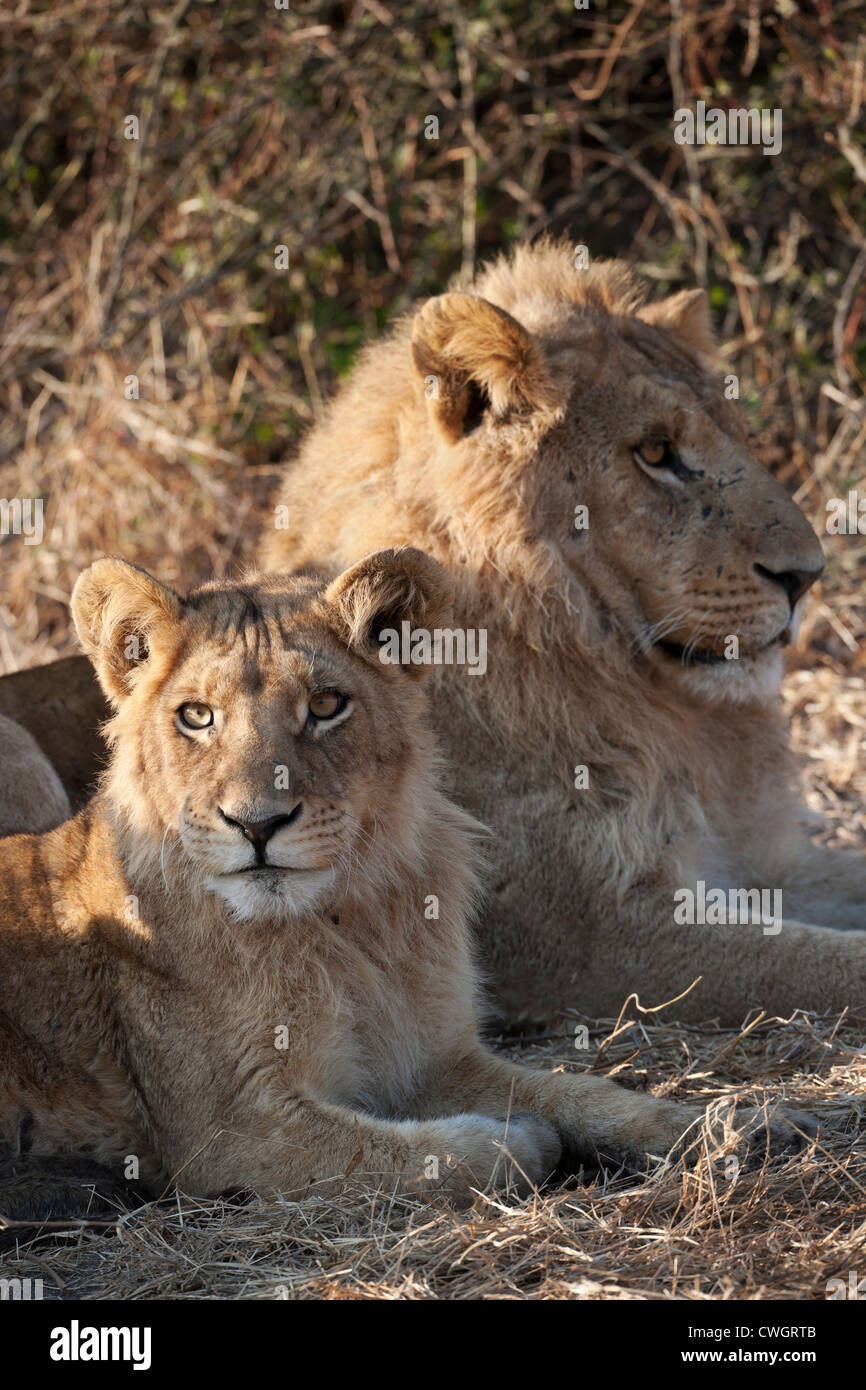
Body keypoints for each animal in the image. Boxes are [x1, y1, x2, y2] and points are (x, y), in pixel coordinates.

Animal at [7, 547, 803, 1215]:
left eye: (326, 705)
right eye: (196, 717)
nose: (258, 824)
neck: (344, 924)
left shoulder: (430, 1060)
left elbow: (585, 1092)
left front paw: (736, 1124)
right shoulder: (228, 1134)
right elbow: (399, 1151)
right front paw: (523, 1141)